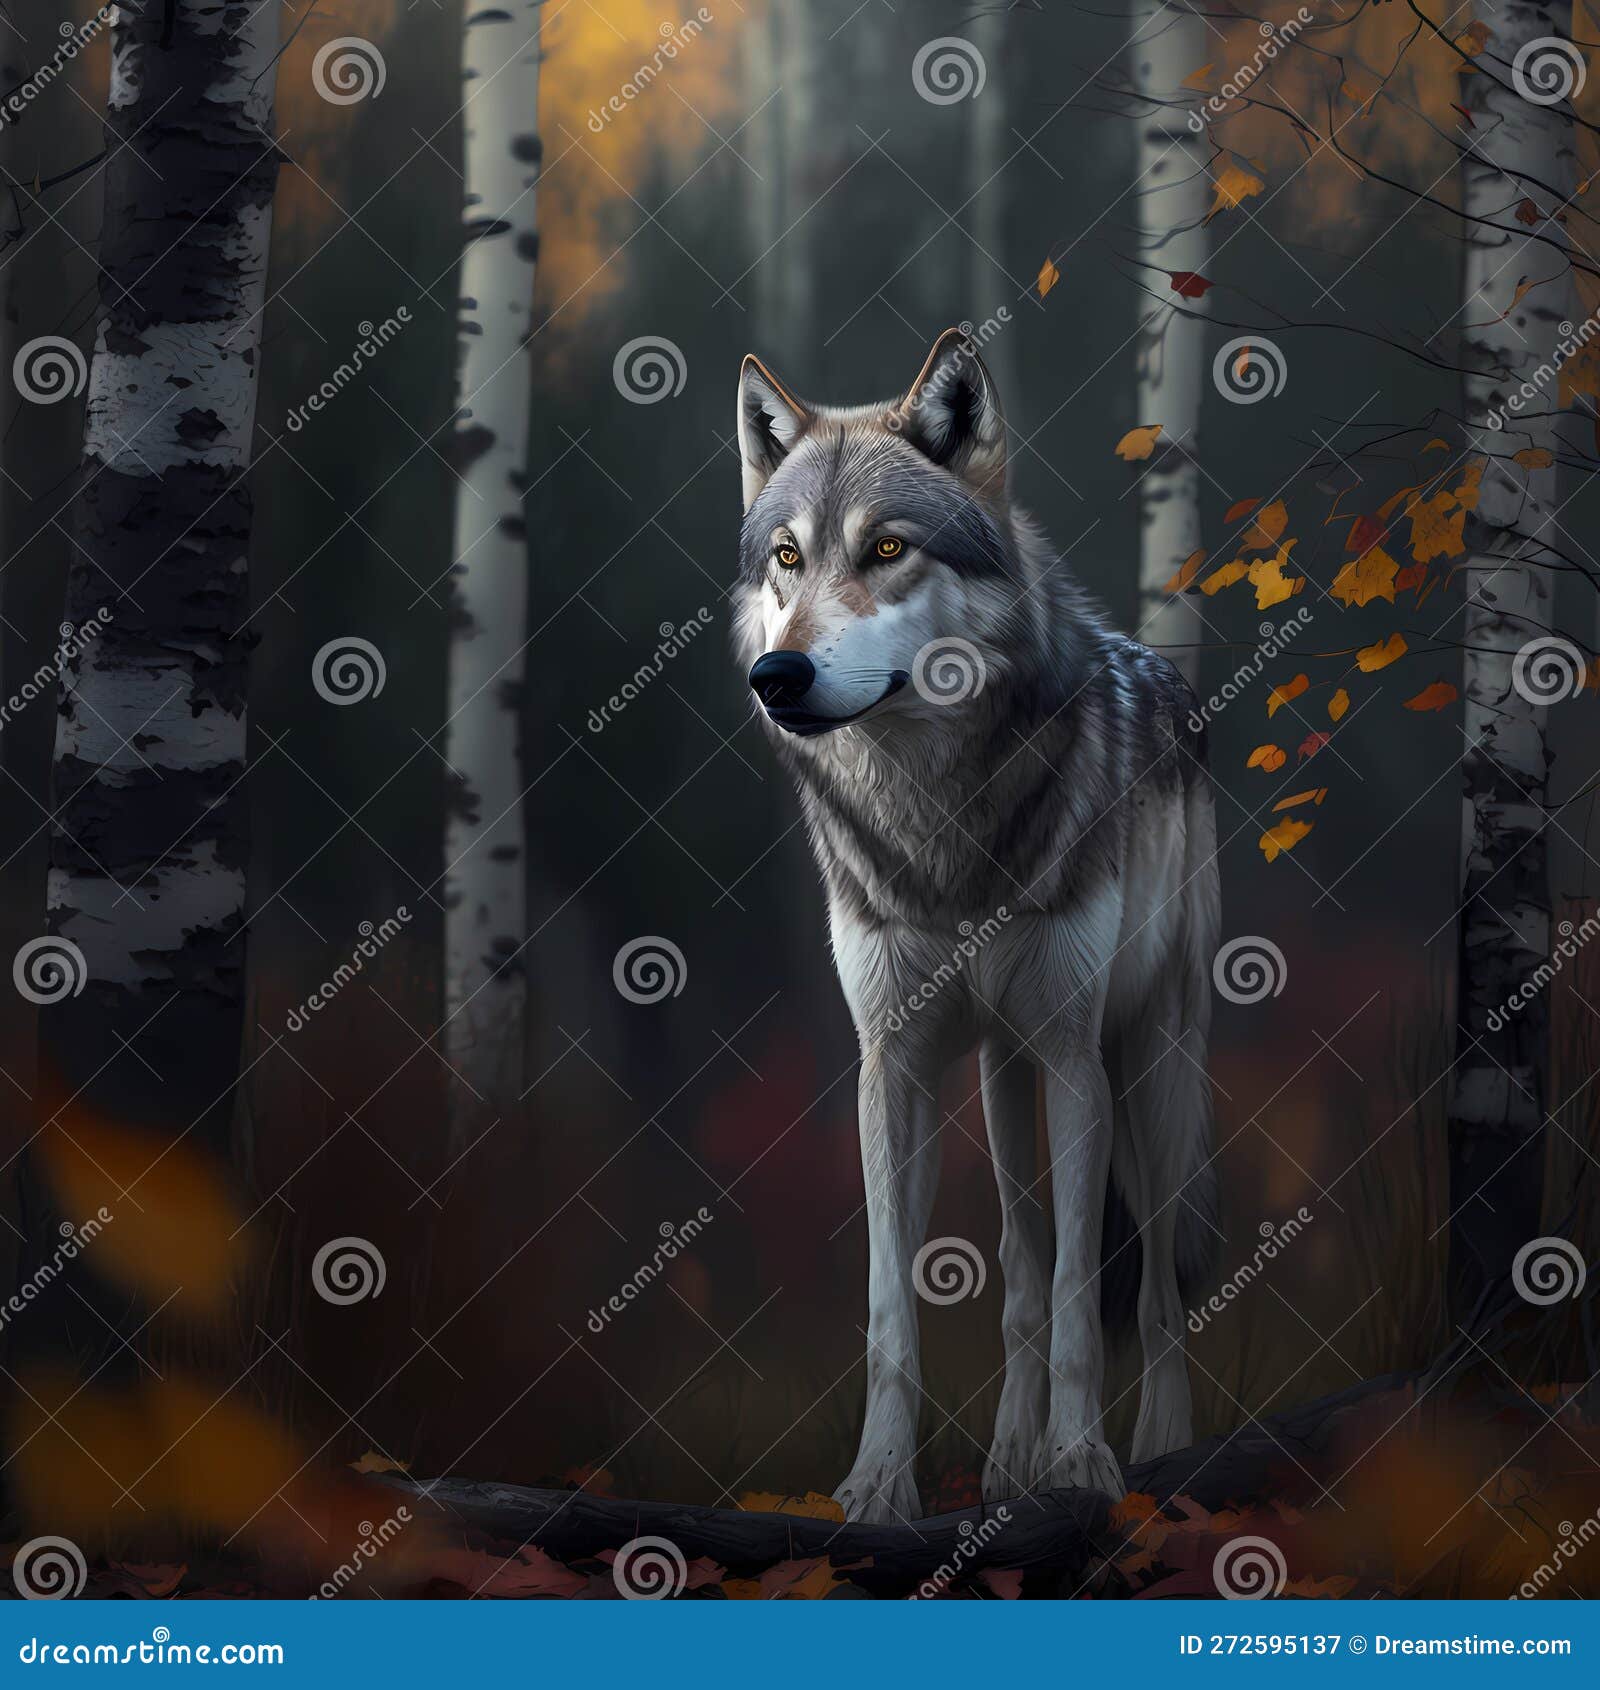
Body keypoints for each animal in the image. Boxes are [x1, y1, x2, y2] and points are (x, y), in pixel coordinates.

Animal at [732, 329, 1221, 1524]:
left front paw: (1083, 1465)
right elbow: (894, 1312)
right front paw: (877, 1486)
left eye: (887, 548)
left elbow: (1090, 1296)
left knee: (1154, 1284)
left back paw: (1159, 1451)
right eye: (786, 557)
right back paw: (1006, 1460)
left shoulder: (1073, 1057)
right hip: (1002, 1080)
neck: (936, 821)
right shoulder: (893, 1064)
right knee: (1020, 1261)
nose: (777, 675)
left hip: (1151, 1064)